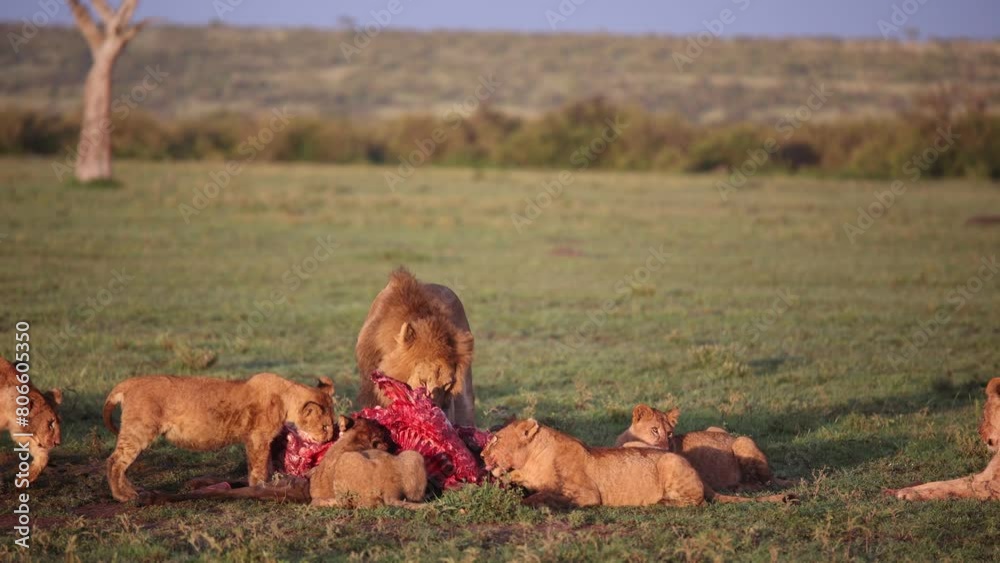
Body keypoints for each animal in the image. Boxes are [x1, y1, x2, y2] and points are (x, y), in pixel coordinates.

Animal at [103, 372, 336, 502]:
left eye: (332, 424)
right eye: (325, 426)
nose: (330, 438)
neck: (286, 398)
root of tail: (129, 383)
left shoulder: (256, 440)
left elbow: (261, 466)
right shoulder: (258, 437)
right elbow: (259, 467)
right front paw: (260, 485)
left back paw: (131, 490)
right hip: (139, 430)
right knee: (114, 461)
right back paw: (122, 496)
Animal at [483, 419, 788, 508]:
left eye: (495, 439)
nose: (482, 454)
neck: (530, 461)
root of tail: (701, 477)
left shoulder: (587, 495)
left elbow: (546, 494)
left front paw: (525, 502)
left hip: (670, 462)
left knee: (697, 501)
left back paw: (662, 502)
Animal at [616, 404, 787, 491]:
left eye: (669, 433)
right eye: (654, 430)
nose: (666, 448)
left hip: (743, 441)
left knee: (763, 482)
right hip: (714, 428)